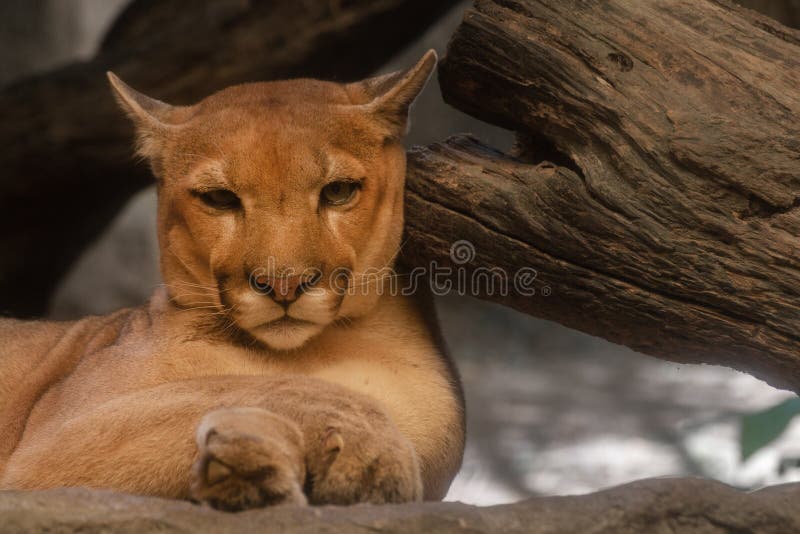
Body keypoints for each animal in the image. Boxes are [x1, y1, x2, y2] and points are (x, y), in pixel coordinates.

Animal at [0, 50, 465, 510]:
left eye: (338, 191)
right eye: (220, 199)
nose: (283, 285)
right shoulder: (58, 438)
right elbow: (252, 387)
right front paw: (363, 446)